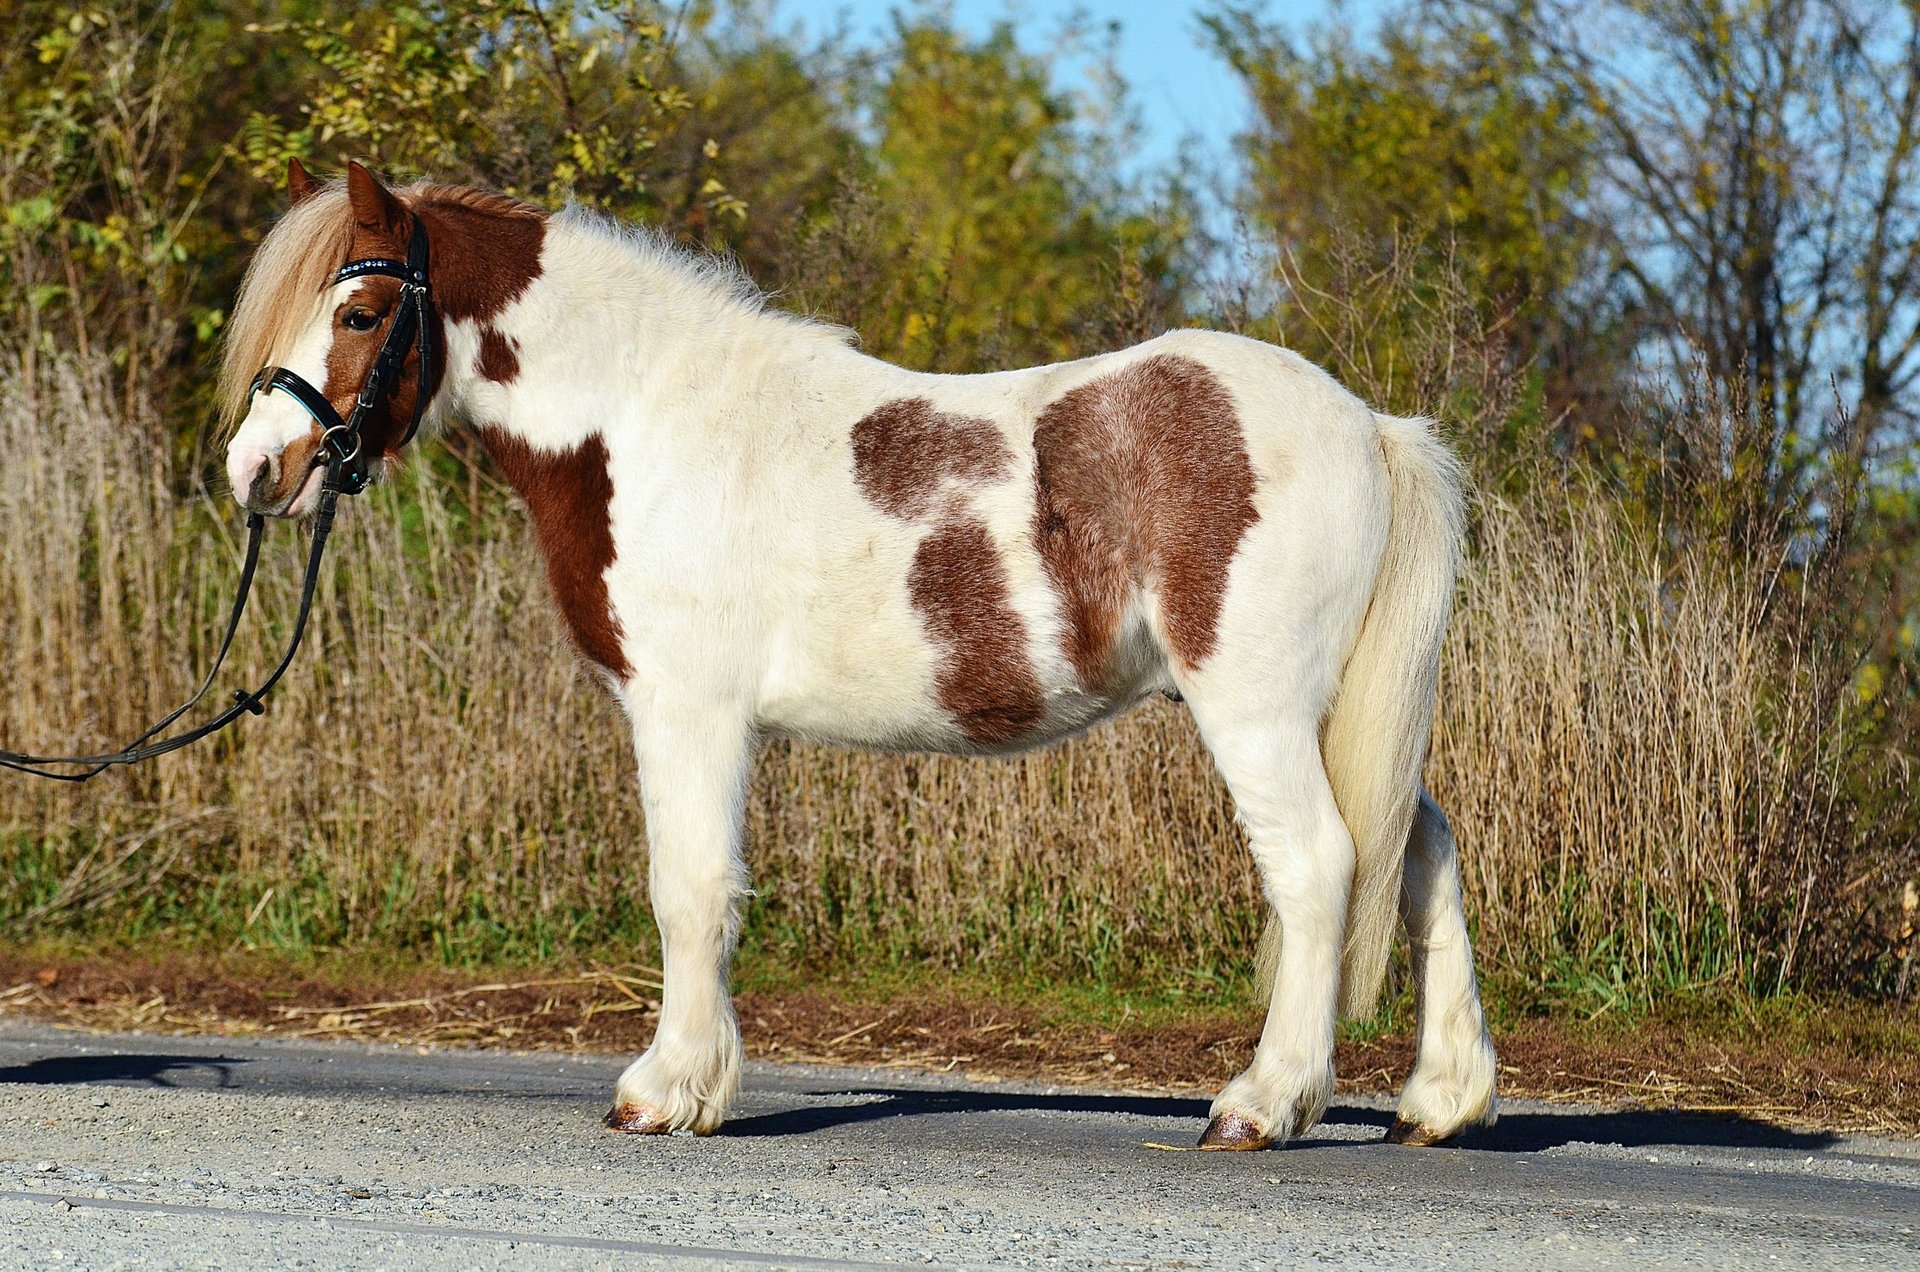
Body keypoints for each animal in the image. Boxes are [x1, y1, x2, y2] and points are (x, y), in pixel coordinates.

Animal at [221, 159, 1498, 1151]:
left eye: (357, 316)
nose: (255, 472)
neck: (643, 419)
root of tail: (1373, 429)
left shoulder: (685, 709)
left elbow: (690, 890)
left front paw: (666, 1092)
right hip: (1341, 713)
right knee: (1422, 851)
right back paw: (1440, 1100)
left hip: (1257, 708)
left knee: (1320, 864)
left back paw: (1261, 1105)